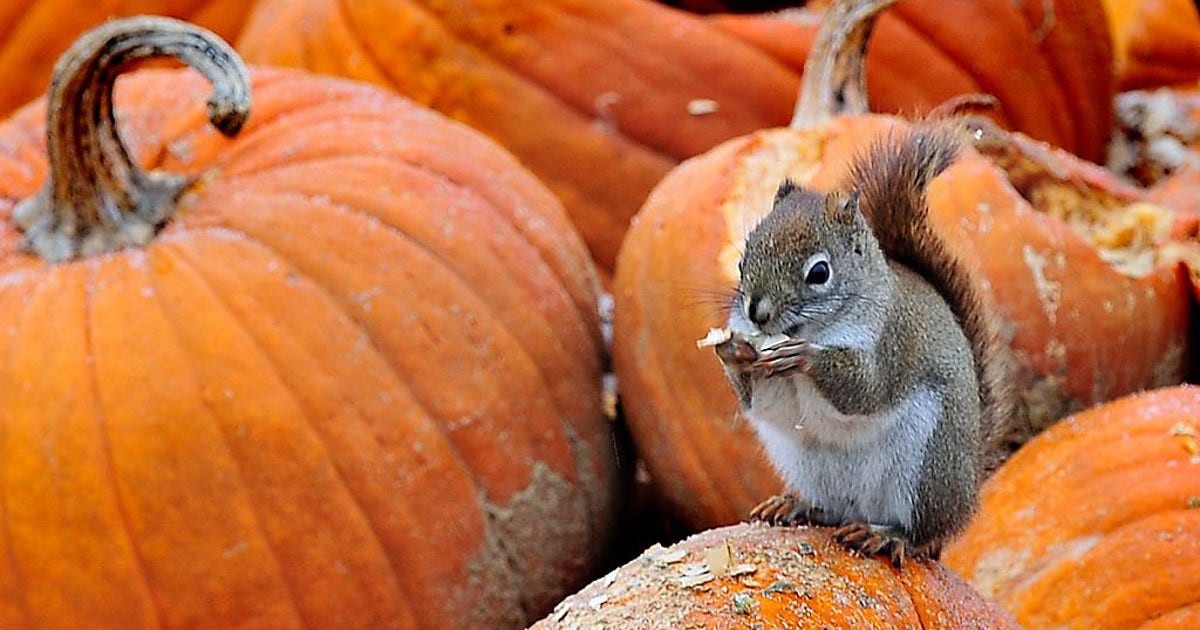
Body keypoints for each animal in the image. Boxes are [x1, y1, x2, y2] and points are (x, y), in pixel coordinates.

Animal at [711, 125, 1012, 565]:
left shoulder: (892, 340)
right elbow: (764, 404)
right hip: (805, 463)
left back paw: (888, 536)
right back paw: (799, 505)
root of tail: (969, 488)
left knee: (923, 532)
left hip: (926, 467)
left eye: (819, 273)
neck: (816, 328)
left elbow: (865, 392)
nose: (756, 313)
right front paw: (732, 351)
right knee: (833, 509)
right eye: (742, 260)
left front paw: (804, 357)